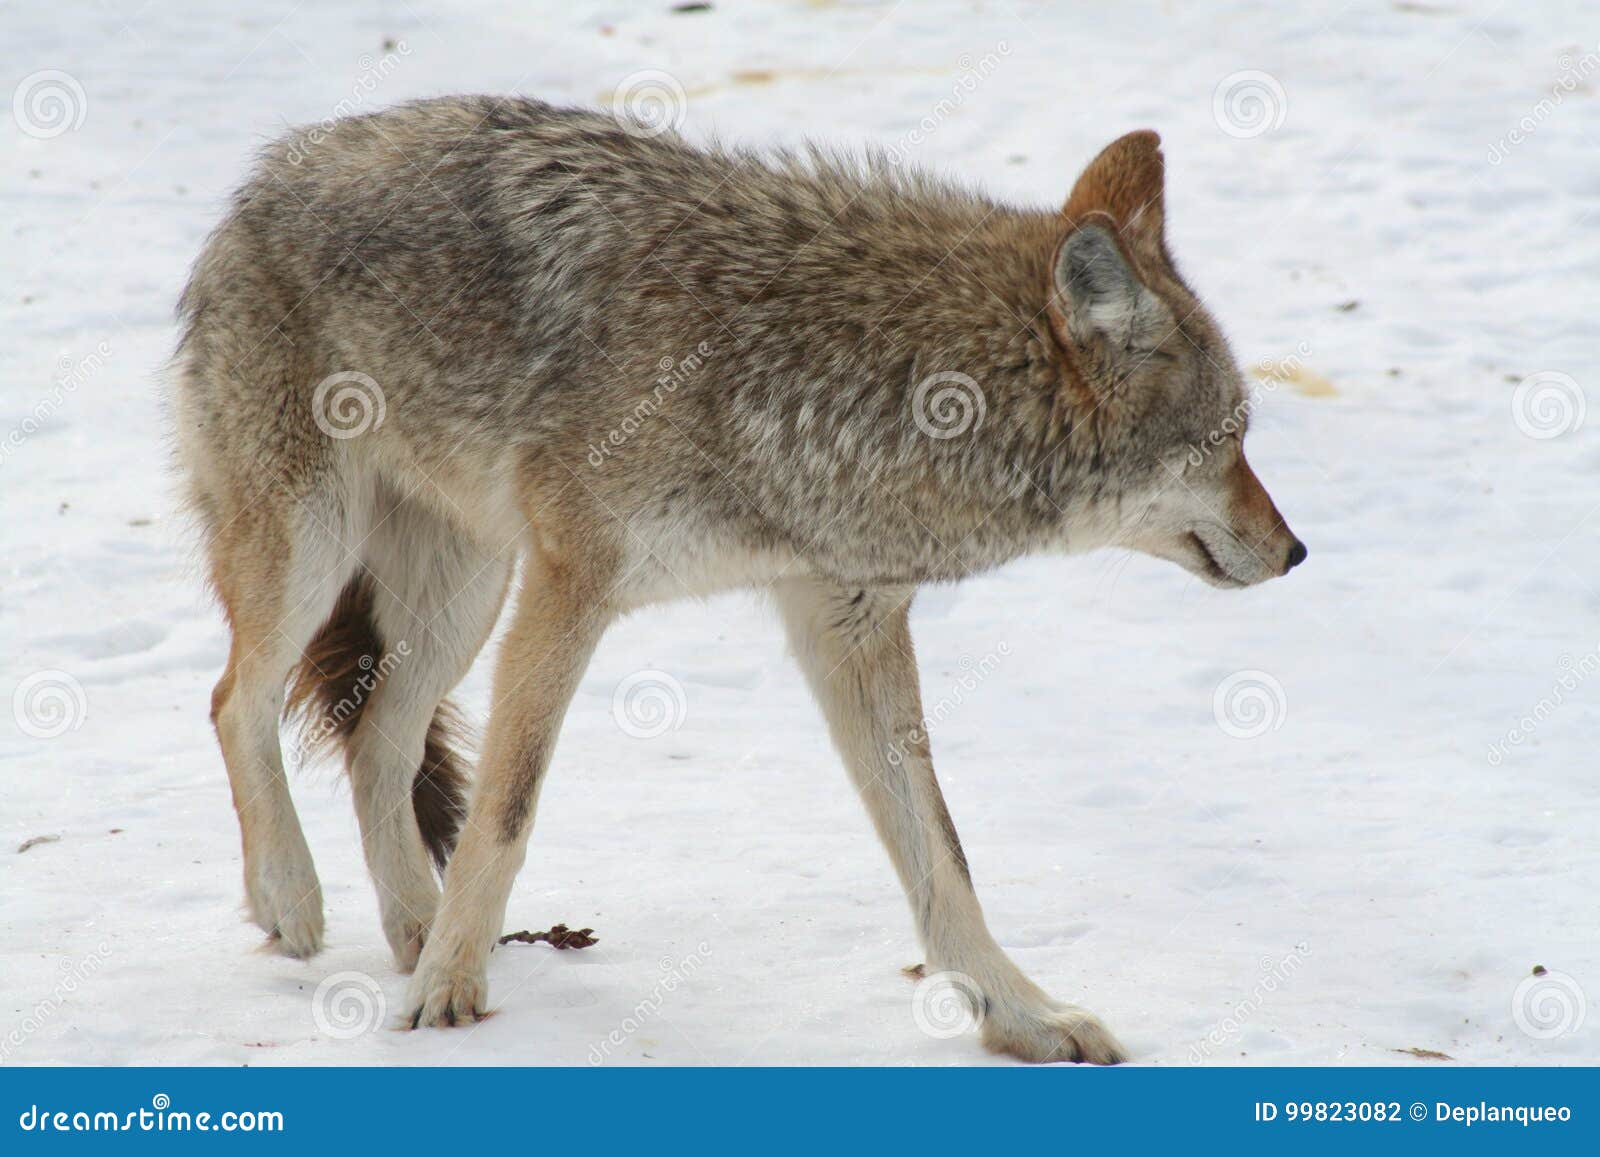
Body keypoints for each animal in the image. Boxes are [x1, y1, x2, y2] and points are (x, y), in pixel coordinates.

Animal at [174, 97, 1304, 1064]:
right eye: (1228, 438)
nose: (1295, 550)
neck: (851, 385)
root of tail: (272, 169)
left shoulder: (846, 619)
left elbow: (943, 859)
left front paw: (1021, 1015)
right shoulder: (571, 588)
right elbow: (506, 812)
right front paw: (446, 996)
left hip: (463, 593)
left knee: (377, 736)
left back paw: (414, 926)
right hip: (319, 554)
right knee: (237, 698)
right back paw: (296, 901)